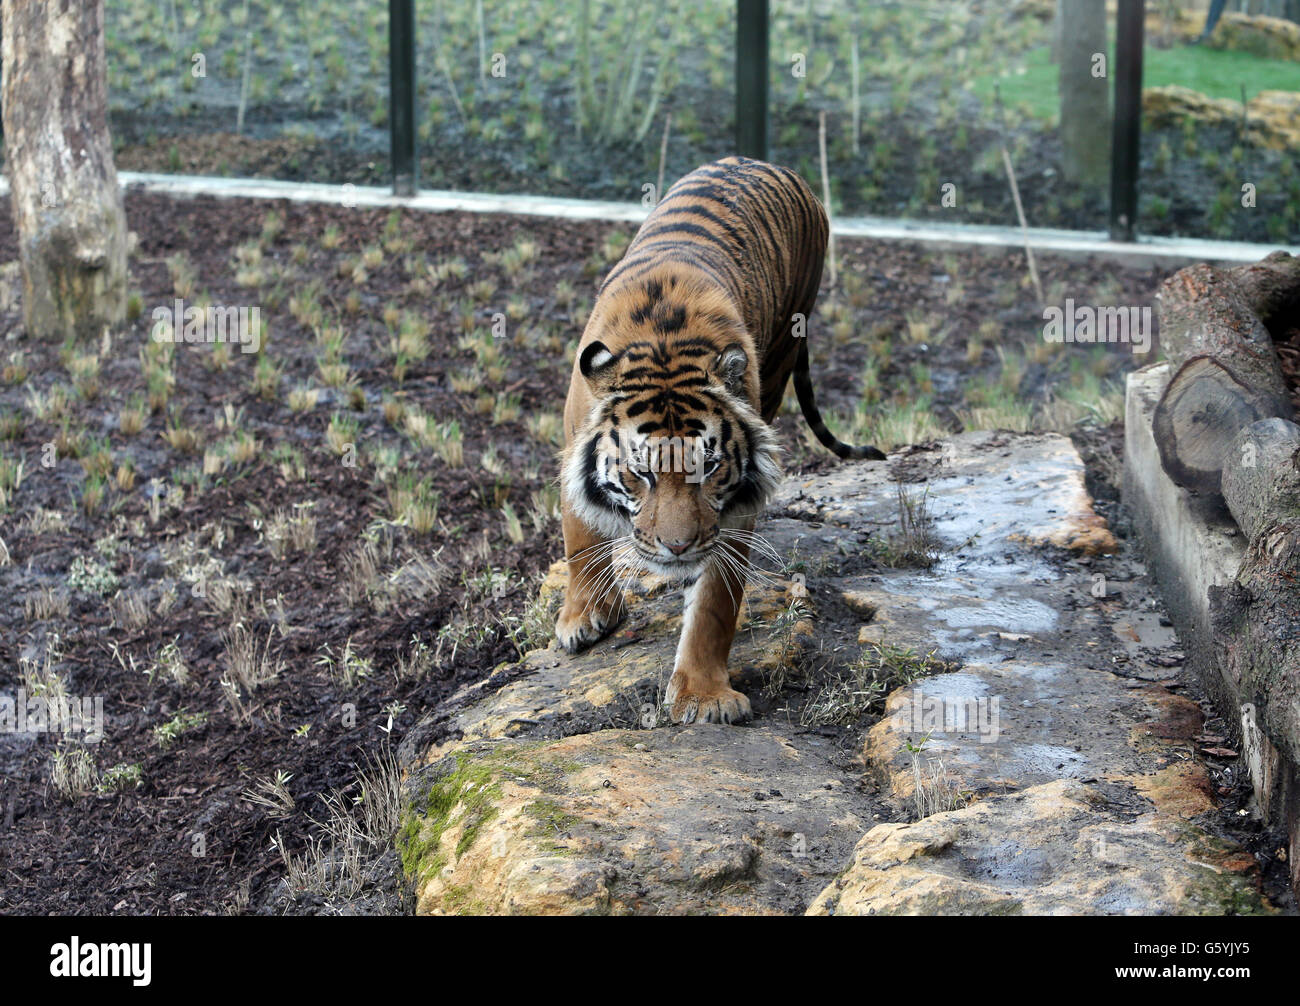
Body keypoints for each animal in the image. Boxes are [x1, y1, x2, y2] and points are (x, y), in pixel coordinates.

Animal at [557, 156, 885, 725]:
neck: (664, 345)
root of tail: (767, 163)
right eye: (640, 473)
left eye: (708, 469)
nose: (678, 546)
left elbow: (715, 603)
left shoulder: (731, 510)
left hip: (784, 350)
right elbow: (579, 538)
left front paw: (704, 697)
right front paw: (586, 616)